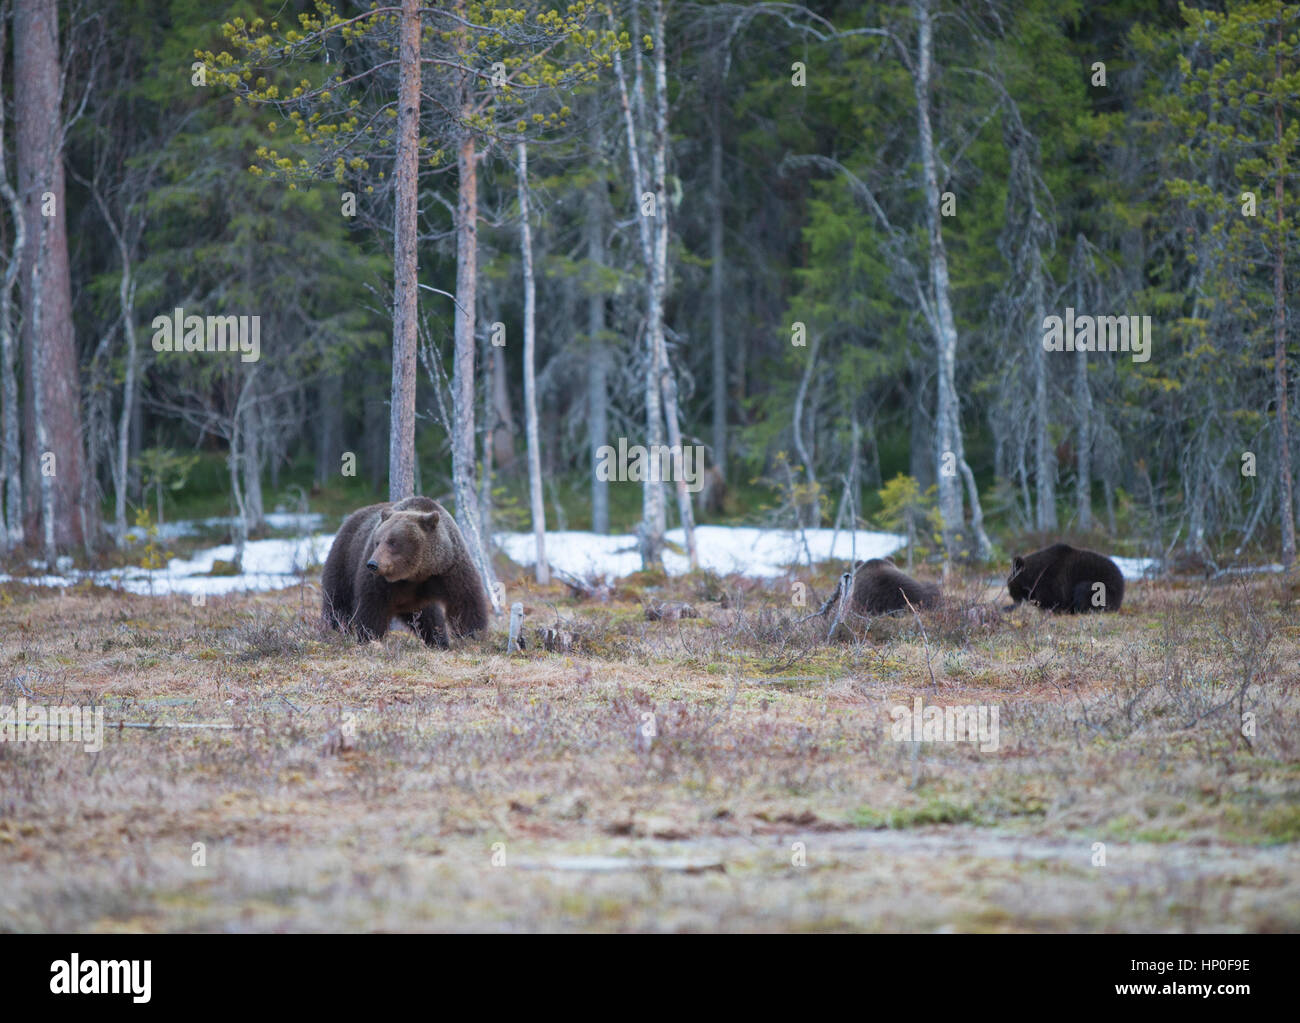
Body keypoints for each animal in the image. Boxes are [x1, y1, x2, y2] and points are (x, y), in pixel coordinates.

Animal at [321, 495, 490, 646]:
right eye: (377, 541)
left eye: (392, 542)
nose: (372, 564)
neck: (416, 572)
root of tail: (351, 517)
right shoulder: (380, 582)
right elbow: (372, 606)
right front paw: (370, 639)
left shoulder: (448, 567)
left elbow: (465, 600)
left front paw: (474, 636)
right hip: (344, 560)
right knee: (337, 603)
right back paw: (333, 631)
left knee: (430, 619)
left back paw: (439, 641)